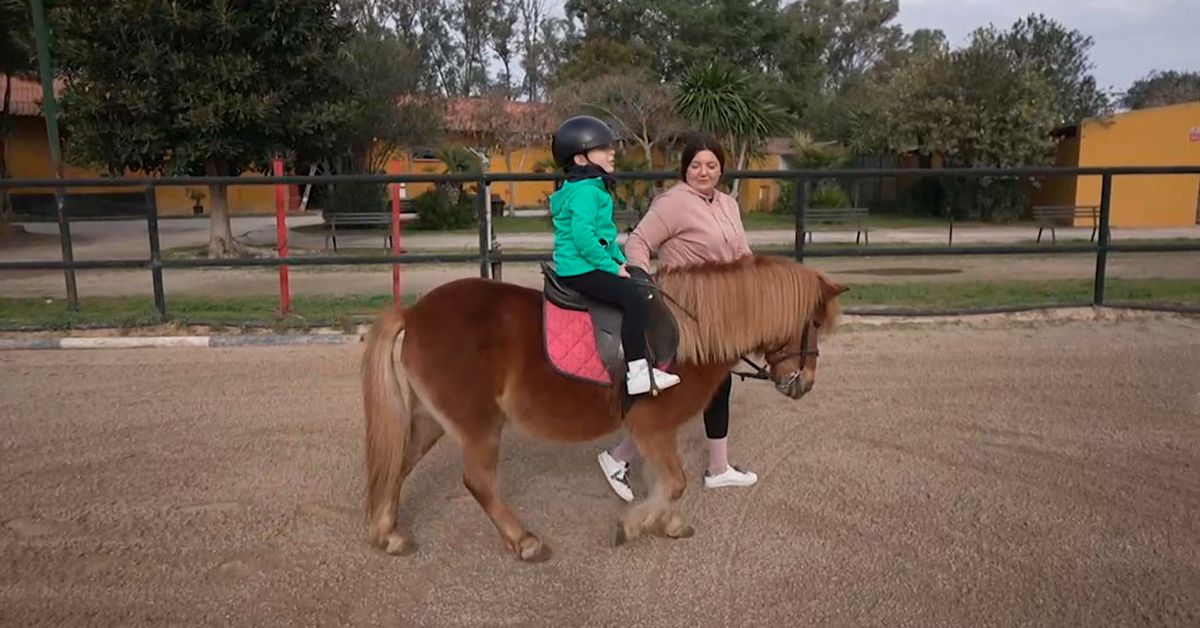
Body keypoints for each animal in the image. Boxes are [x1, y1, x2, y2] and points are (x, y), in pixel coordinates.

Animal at [359, 254, 848, 562]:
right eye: (814, 323)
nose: (804, 385)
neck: (689, 333)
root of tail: (415, 313)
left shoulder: (652, 431)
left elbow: (666, 482)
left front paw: (665, 523)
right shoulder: (653, 427)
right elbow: (675, 482)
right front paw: (634, 526)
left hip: (430, 418)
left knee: (399, 464)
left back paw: (388, 534)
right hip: (480, 425)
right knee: (478, 481)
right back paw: (525, 542)